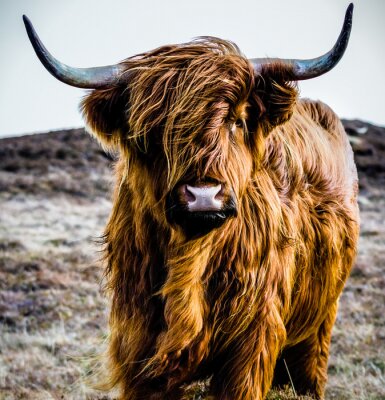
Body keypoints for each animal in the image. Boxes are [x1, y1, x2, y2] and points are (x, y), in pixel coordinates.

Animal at [24, 3, 360, 400]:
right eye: (151, 131)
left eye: (238, 120)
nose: (203, 196)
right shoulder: (138, 343)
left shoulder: (253, 342)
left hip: (320, 321)